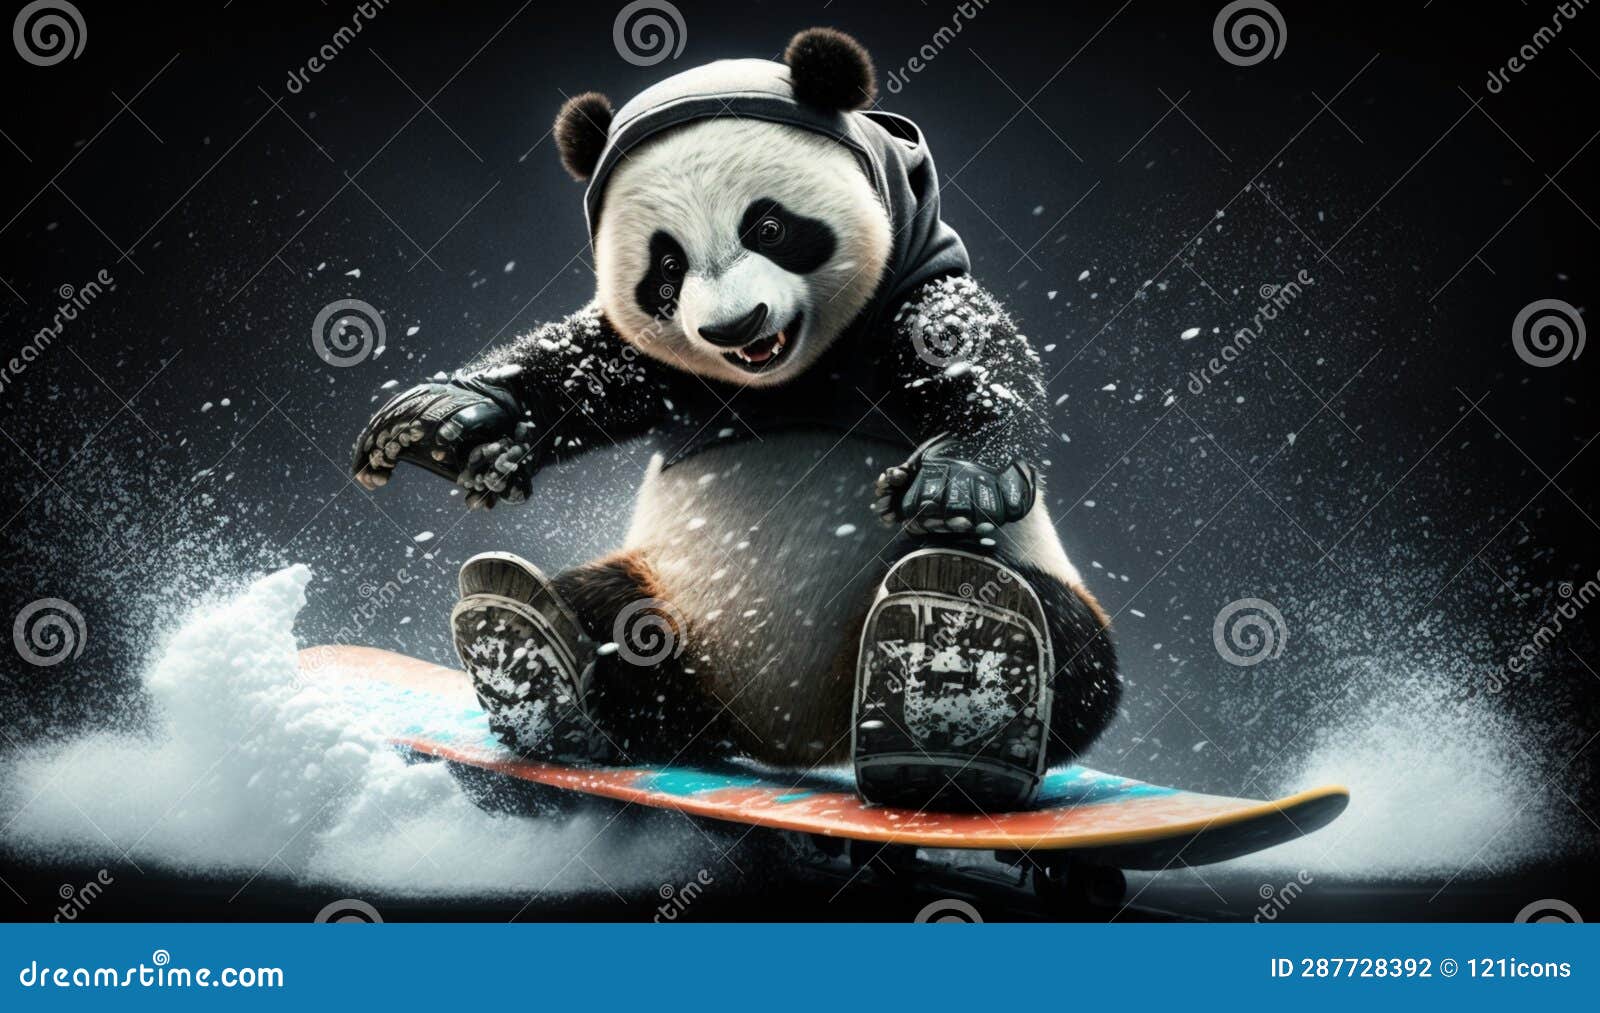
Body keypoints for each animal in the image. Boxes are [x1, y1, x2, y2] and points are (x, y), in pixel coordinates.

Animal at [352, 28, 1119, 811]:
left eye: (771, 226)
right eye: (666, 268)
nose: (733, 326)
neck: (791, 377)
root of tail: (790, 738)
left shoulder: (905, 296)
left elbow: (973, 357)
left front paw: (958, 474)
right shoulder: (683, 380)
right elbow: (593, 366)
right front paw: (447, 416)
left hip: (997, 592)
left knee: (1064, 640)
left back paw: (955, 710)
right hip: (676, 596)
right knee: (611, 618)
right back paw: (534, 658)